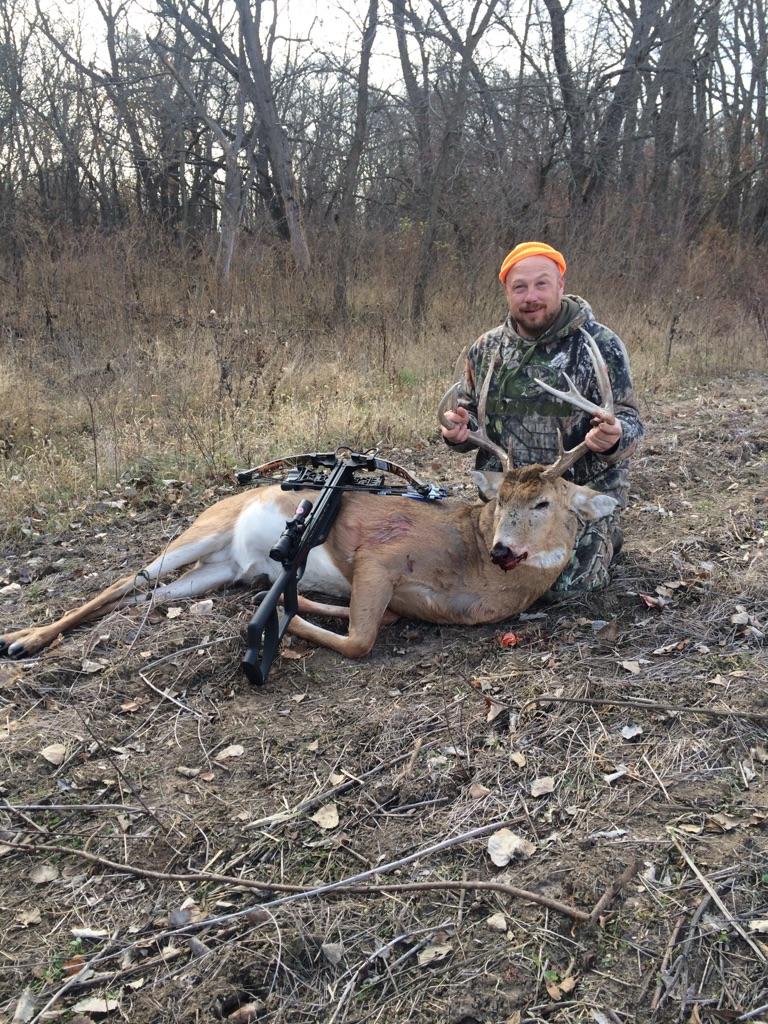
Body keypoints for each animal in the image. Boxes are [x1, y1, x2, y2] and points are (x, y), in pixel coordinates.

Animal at [0, 338, 619, 663]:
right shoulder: (379, 554)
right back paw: (22, 639)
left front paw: (298, 611)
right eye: (501, 501)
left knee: (145, 595)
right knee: (123, 580)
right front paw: (286, 621)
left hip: (217, 571)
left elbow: (373, 621)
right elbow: (361, 639)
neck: (472, 572)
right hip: (201, 531)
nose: (503, 549)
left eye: (544, 504)